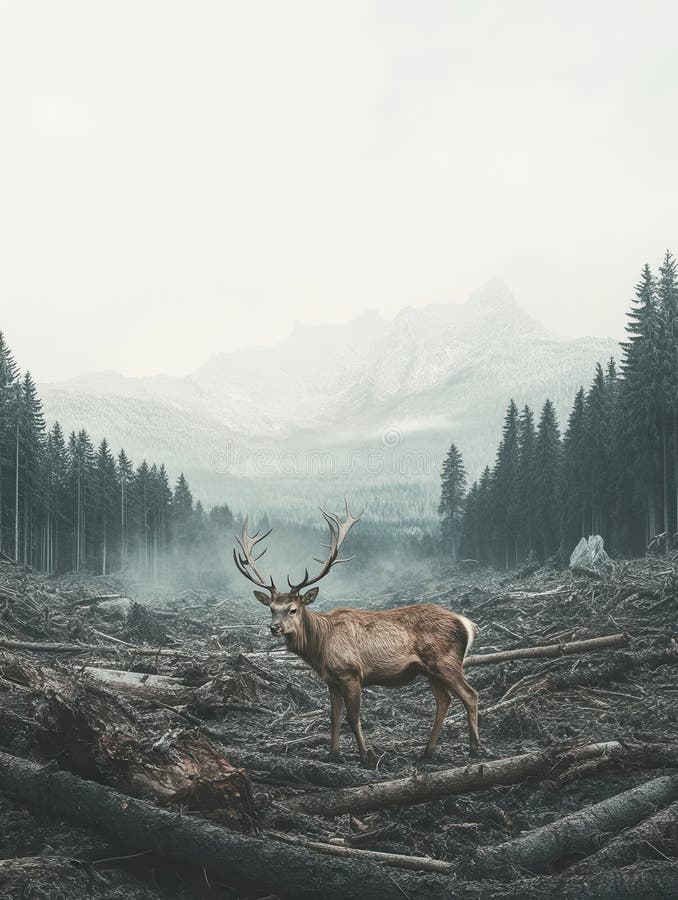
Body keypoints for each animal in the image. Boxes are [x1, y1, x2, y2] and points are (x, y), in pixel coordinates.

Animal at [233, 503, 480, 767]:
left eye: (293, 609)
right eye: (271, 608)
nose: (274, 627)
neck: (321, 647)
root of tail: (466, 623)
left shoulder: (351, 673)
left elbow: (353, 718)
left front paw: (365, 757)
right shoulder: (331, 680)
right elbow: (334, 717)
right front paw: (332, 754)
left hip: (445, 661)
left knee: (470, 695)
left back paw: (474, 748)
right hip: (430, 670)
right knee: (444, 699)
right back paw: (427, 751)